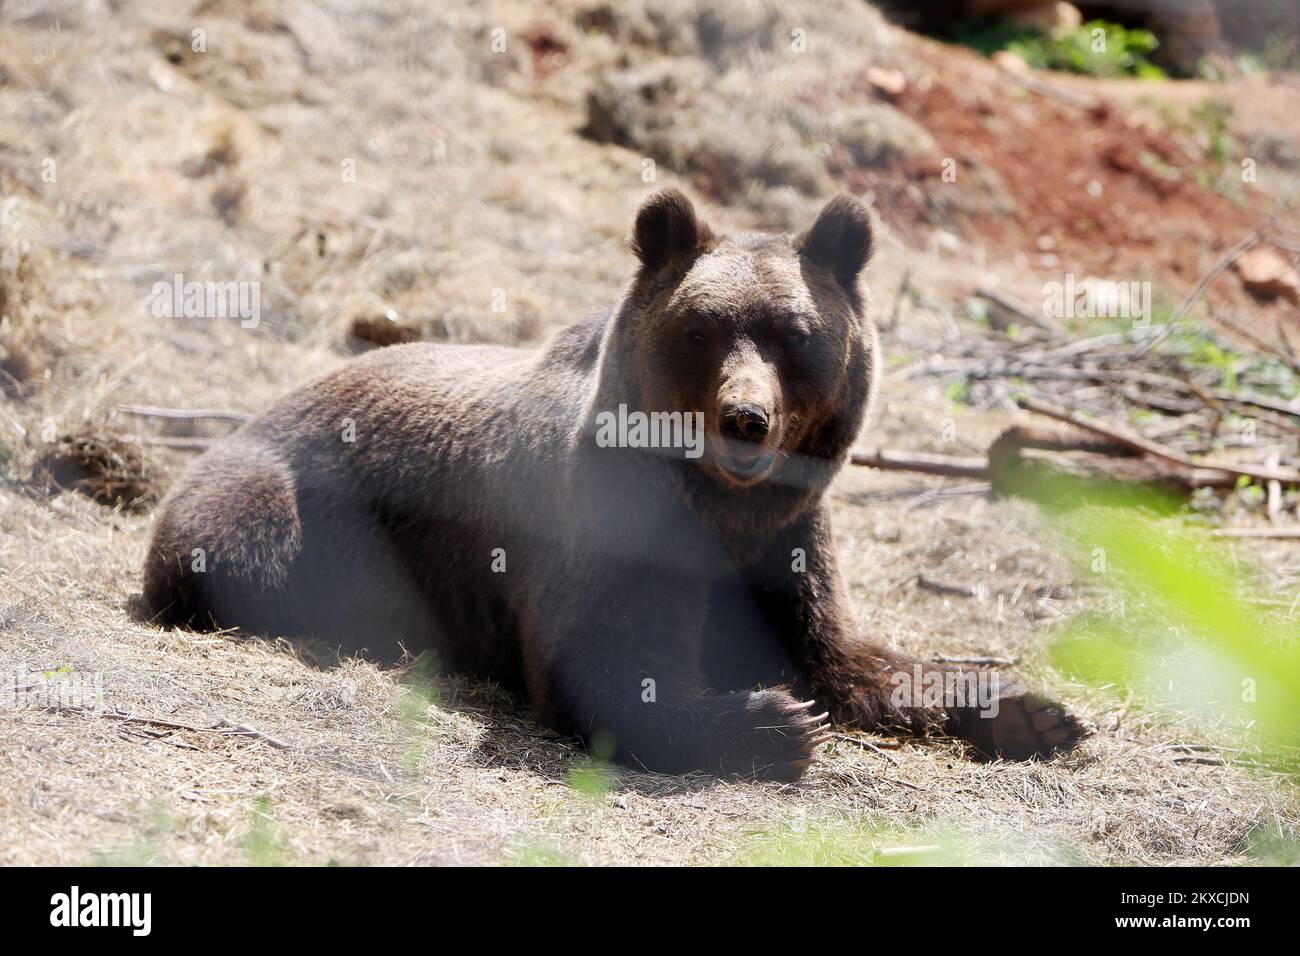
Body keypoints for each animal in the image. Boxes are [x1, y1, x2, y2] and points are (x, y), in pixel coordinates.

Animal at [141, 189, 1086, 779]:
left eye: (794, 334)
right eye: (705, 330)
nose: (747, 418)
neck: (723, 508)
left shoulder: (789, 538)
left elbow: (845, 655)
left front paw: (1033, 710)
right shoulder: (611, 519)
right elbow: (605, 661)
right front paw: (771, 721)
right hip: (285, 492)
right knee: (241, 546)